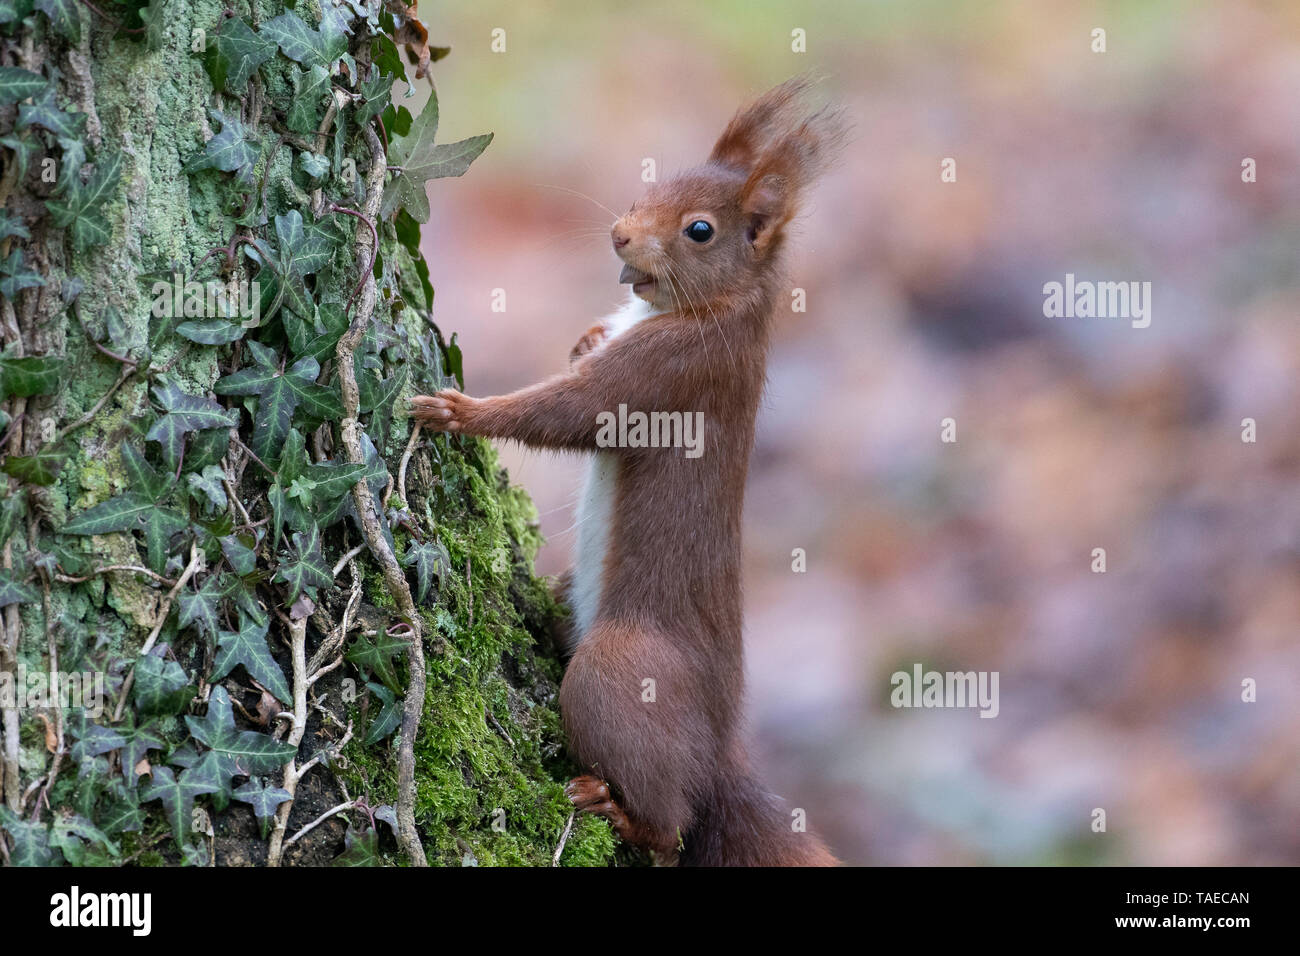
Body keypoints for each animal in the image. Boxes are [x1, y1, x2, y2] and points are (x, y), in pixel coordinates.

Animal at [411, 76, 845, 866]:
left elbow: (572, 412)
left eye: (700, 230)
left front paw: (462, 411)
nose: (618, 233)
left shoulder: (669, 374)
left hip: (618, 671)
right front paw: (583, 336)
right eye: (654, 183)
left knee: (671, 829)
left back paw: (617, 809)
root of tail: (717, 753)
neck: (714, 308)